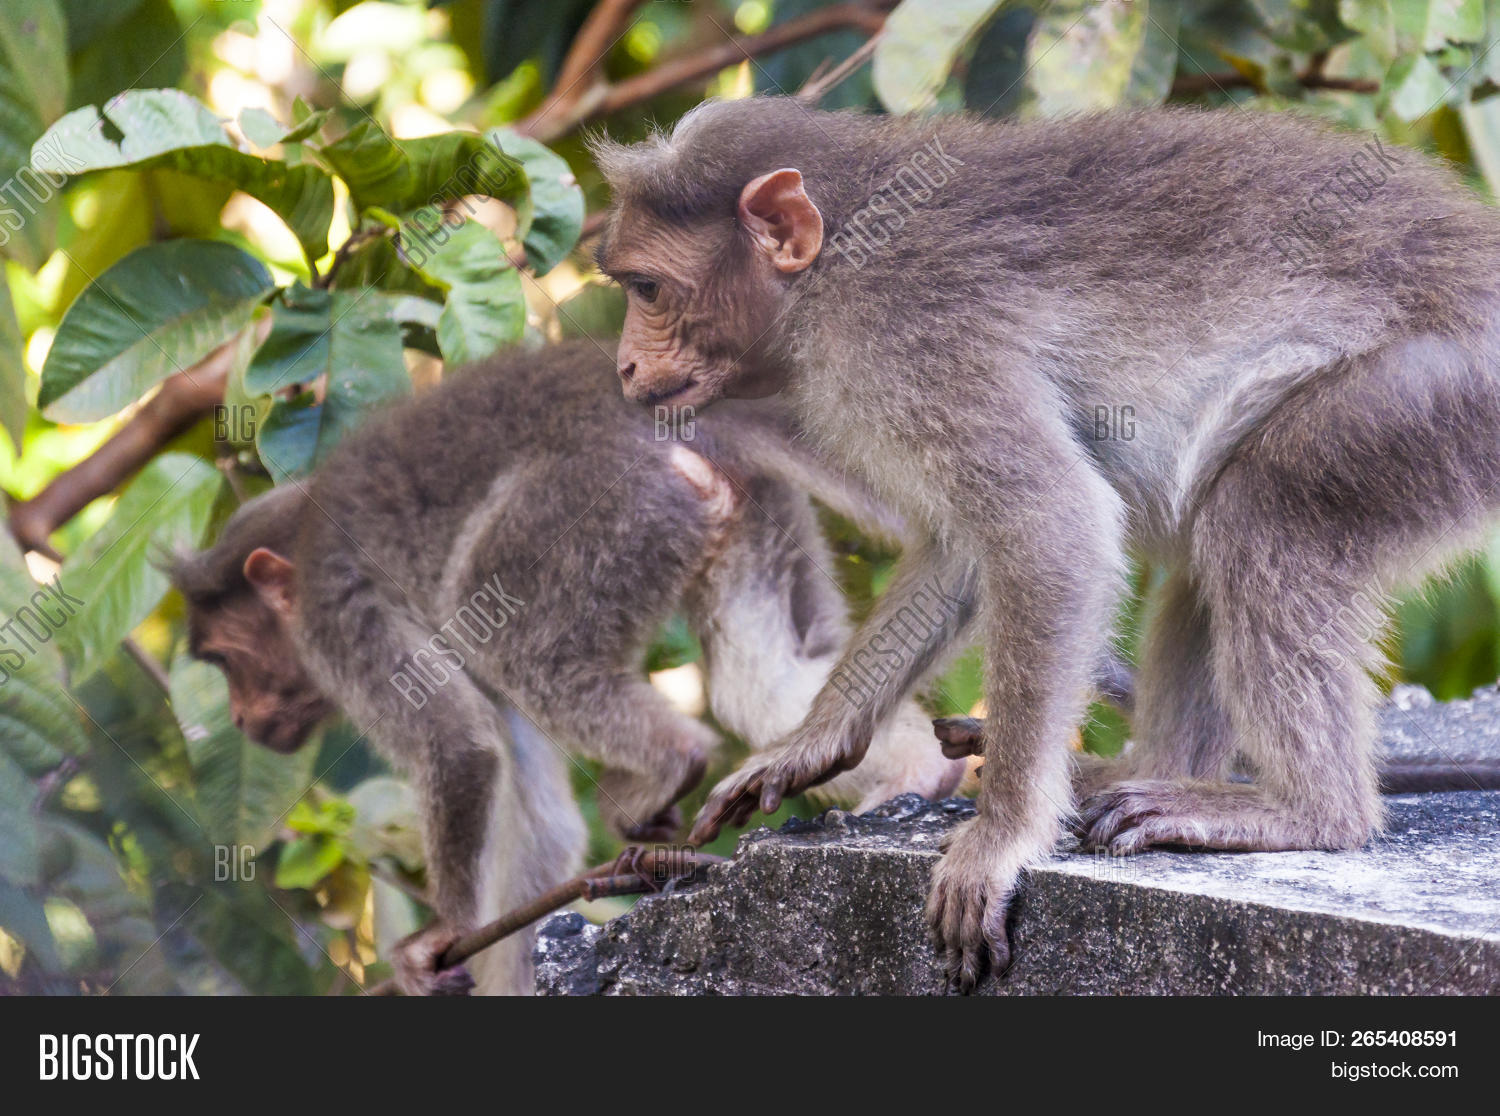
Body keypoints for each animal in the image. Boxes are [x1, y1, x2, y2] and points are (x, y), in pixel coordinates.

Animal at [171, 338, 964, 995]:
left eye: (225, 660)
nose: (237, 713)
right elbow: (535, 809)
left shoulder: (337, 621)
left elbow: (457, 744)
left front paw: (442, 938)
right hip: (737, 501)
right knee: (757, 678)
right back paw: (917, 771)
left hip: (598, 498)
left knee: (507, 636)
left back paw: (673, 760)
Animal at [592, 98, 1500, 991]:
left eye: (647, 288)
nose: (625, 368)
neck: (830, 267)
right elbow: (962, 546)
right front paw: (809, 744)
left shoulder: (905, 339)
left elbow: (1049, 524)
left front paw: (1000, 842)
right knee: (1212, 532)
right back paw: (1148, 766)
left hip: (1437, 393)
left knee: (1257, 510)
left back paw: (1307, 812)